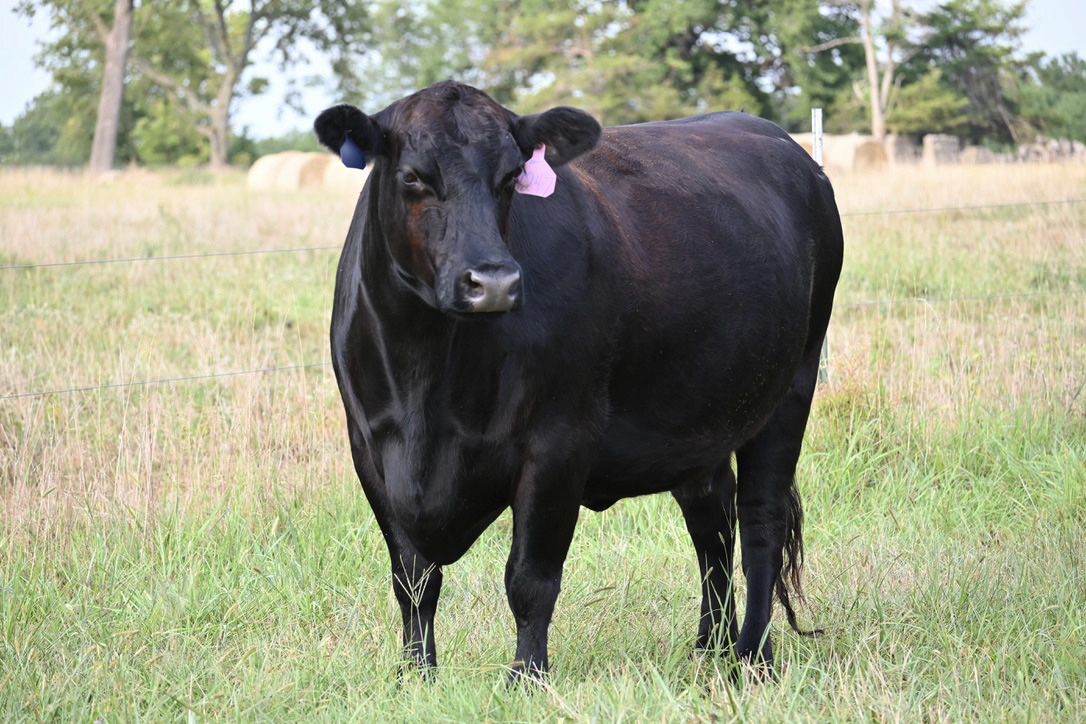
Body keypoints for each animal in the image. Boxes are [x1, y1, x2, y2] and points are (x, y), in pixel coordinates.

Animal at [314, 80, 843, 682]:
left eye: (512, 177)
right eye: (413, 177)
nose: (493, 282)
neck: (425, 384)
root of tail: (788, 147)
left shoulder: (558, 442)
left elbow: (529, 578)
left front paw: (526, 677)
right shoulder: (371, 449)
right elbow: (413, 579)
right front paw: (417, 675)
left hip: (790, 389)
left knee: (760, 524)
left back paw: (751, 657)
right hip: (699, 416)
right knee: (712, 524)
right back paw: (711, 645)